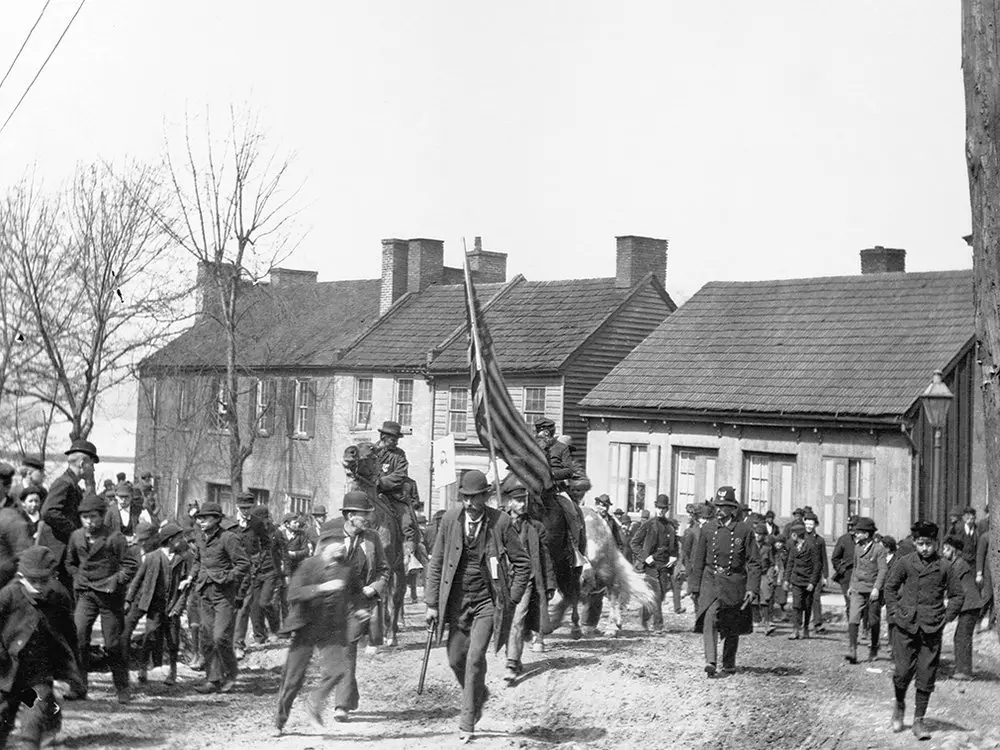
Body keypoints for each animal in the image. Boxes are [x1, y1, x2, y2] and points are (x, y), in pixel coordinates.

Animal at [344, 444, 406, 648]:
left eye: (371, 449)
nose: (350, 452)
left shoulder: (385, 564)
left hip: (399, 569)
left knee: (396, 597)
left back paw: (391, 635)